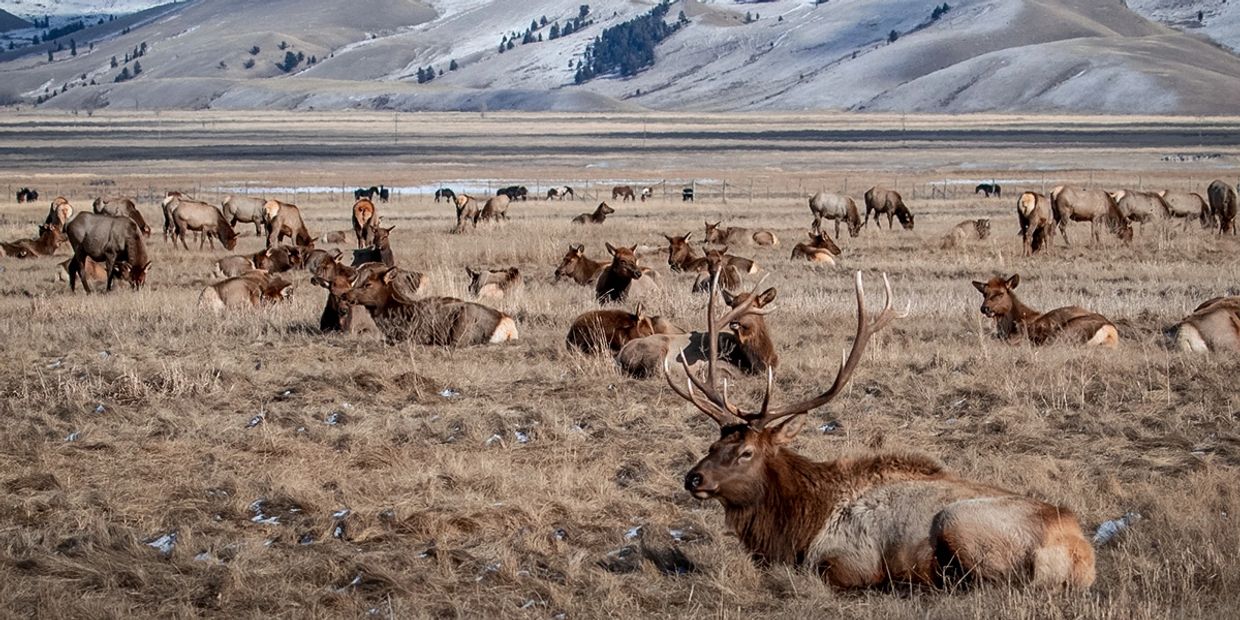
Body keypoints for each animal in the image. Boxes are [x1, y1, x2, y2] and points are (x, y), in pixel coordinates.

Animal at [665, 268, 1096, 590]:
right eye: (713, 444)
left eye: (747, 452)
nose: (693, 478)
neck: (799, 523)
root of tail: (1081, 555)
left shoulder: (847, 559)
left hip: (959, 522)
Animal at [972, 275, 1118, 347]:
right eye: (984, 293)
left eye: (1000, 293)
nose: (984, 308)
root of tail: (1111, 331)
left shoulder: (1020, 335)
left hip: (1064, 332)